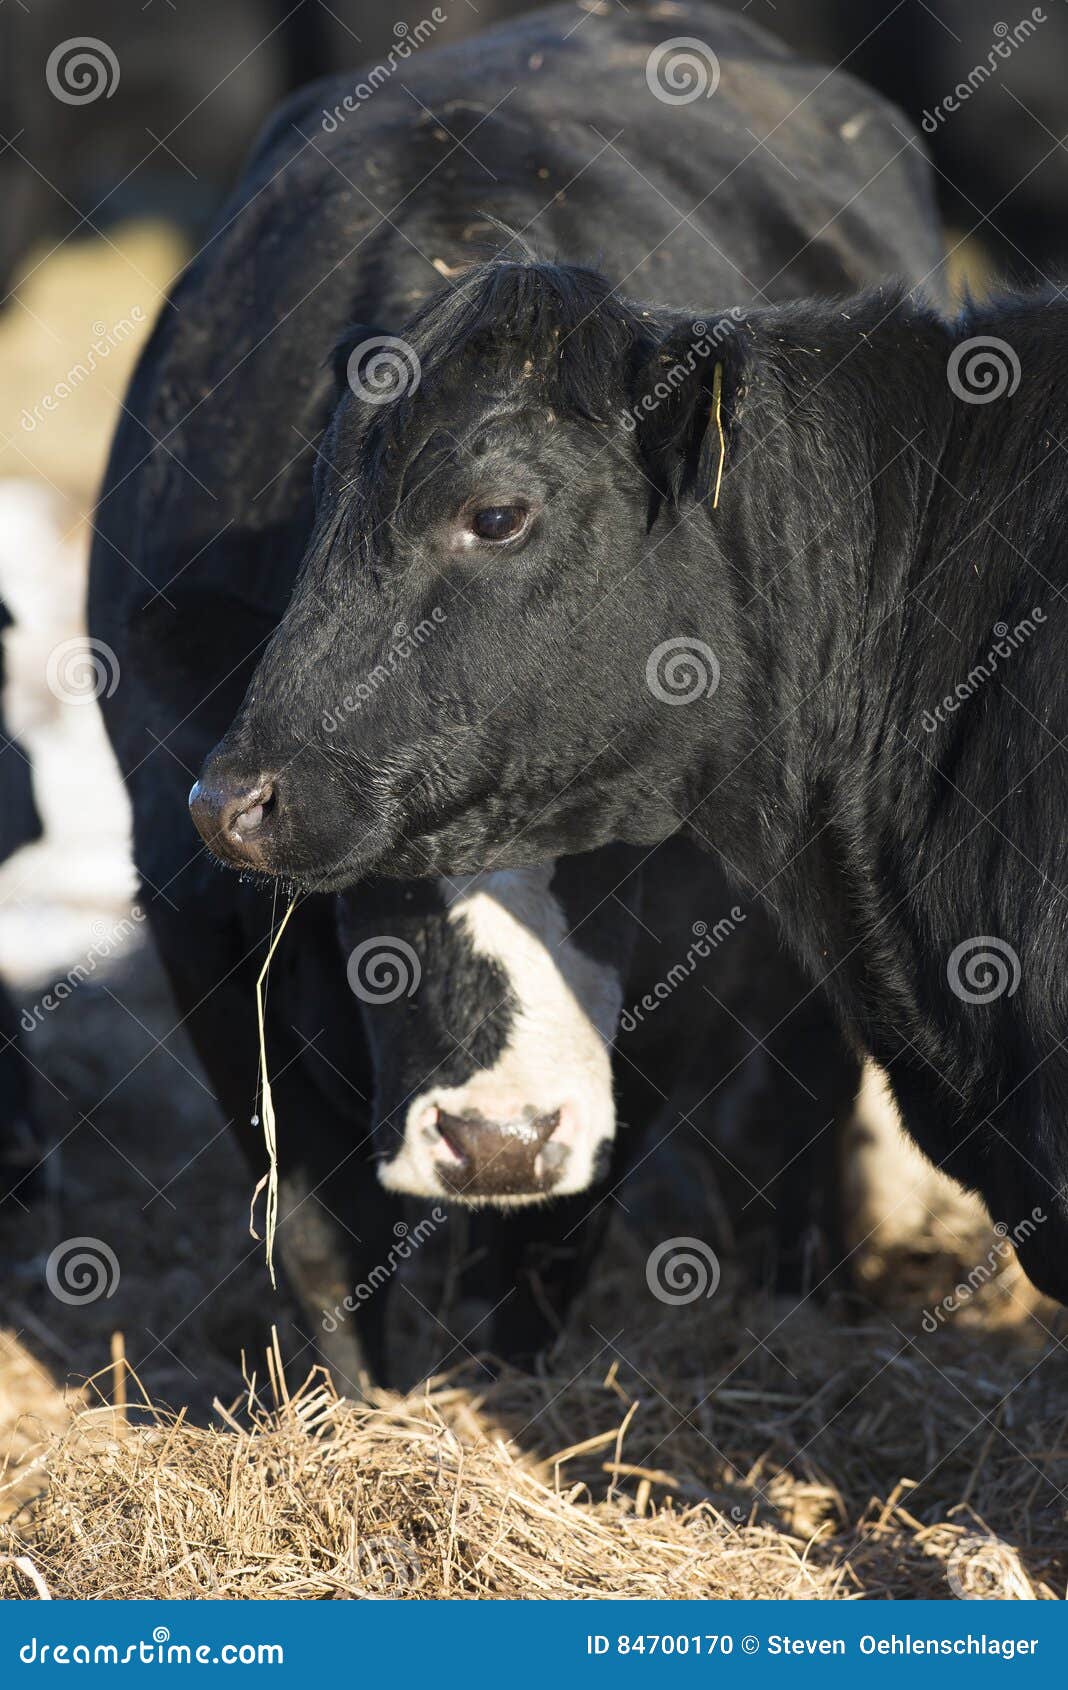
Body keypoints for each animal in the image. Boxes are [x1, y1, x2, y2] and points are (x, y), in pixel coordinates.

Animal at [92, 0, 943, 1381]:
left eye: (618, 855)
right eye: (377, 893)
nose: (495, 1142)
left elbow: (544, 1248)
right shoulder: (196, 896)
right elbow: (317, 1229)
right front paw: (357, 1409)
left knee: (794, 1117)